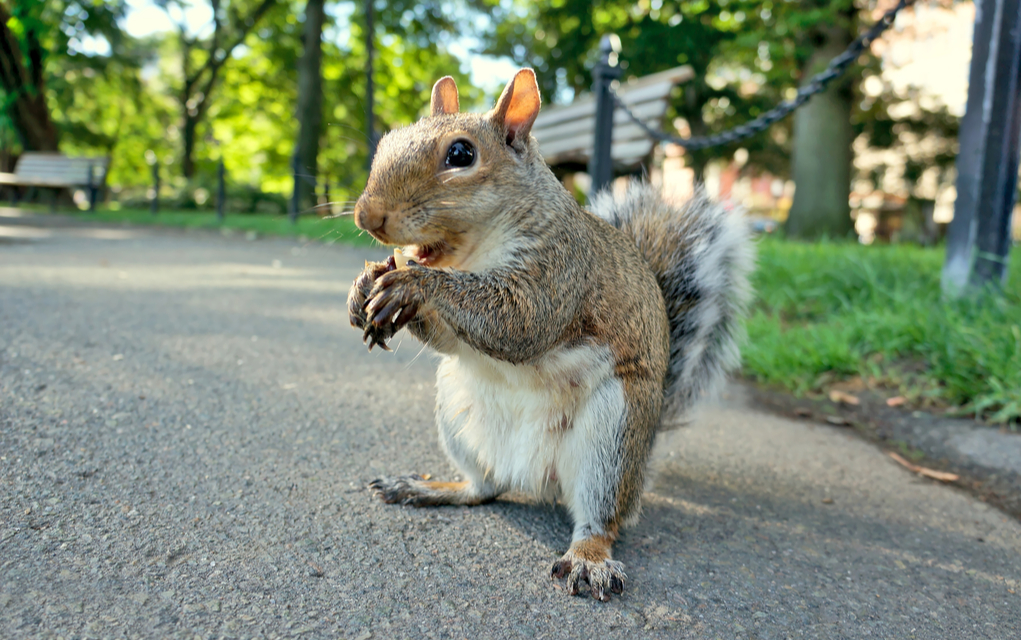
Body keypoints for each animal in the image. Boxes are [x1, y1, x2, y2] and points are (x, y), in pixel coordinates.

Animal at [348, 69, 753, 601]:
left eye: (461, 154)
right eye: (390, 140)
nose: (367, 216)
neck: (474, 250)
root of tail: (535, 477)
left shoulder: (560, 270)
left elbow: (519, 322)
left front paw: (414, 282)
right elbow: (451, 339)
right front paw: (364, 285)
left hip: (612, 438)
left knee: (601, 519)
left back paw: (589, 559)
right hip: (458, 416)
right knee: (485, 488)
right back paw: (430, 487)